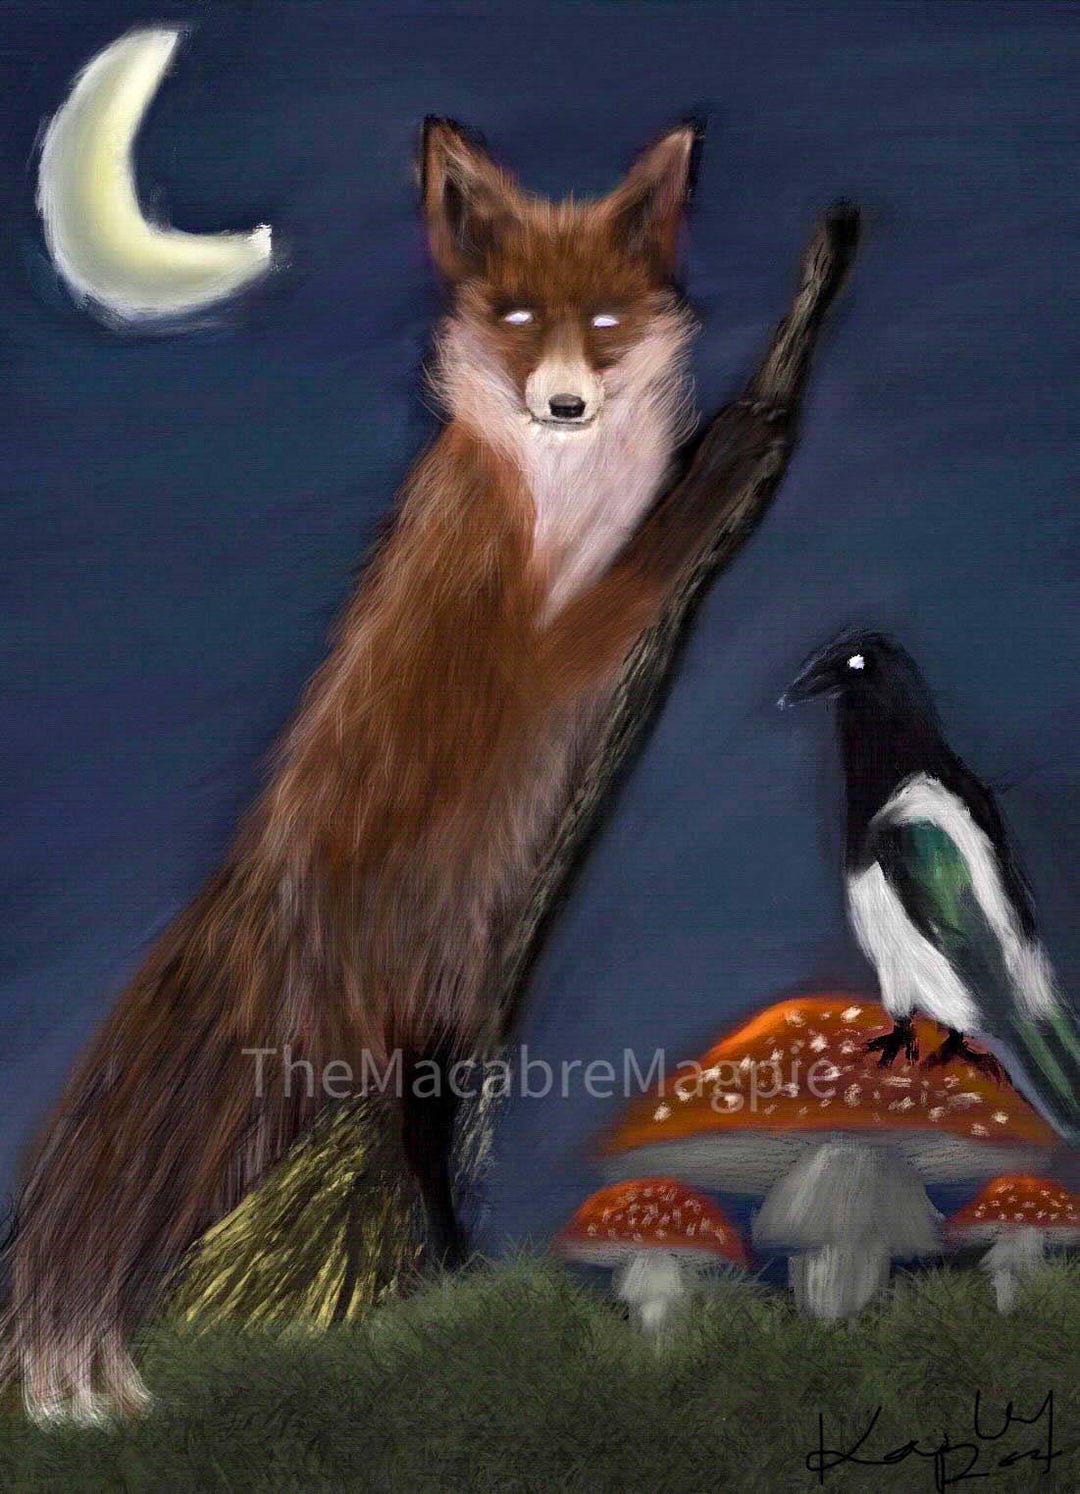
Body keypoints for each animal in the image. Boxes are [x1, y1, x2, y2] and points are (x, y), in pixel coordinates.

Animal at [1, 116, 858, 1423]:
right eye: (514, 318)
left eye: (603, 321)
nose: (566, 400)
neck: (565, 499)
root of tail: (256, 890)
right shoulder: (534, 642)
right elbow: (644, 565)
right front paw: (733, 455)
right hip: (409, 1014)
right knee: (413, 1152)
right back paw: (437, 1283)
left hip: (449, 1009)